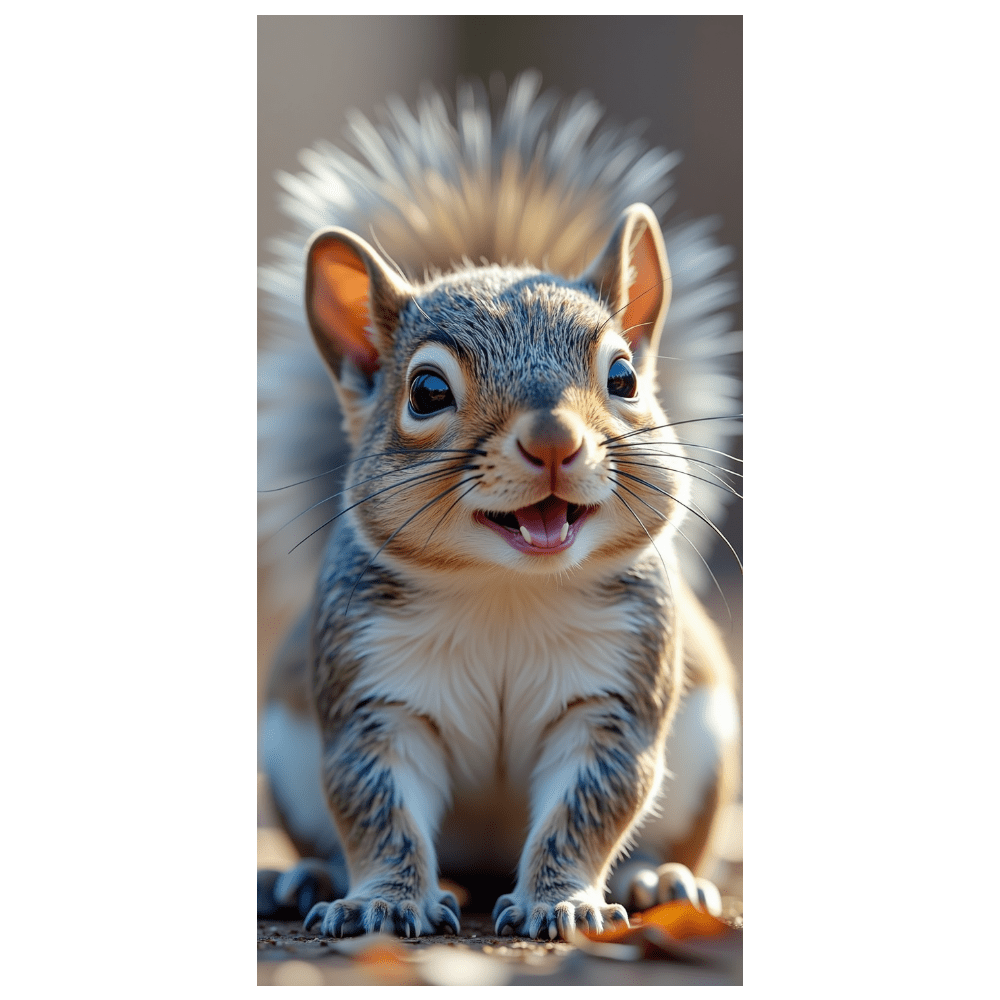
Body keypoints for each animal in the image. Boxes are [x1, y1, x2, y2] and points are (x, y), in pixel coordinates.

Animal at [257, 72, 742, 941]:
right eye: (426, 391)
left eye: (624, 378)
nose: (554, 439)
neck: (507, 588)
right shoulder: (374, 700)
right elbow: (376, 808)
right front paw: (383, 901)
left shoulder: (615, 698)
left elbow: (589, 808)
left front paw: (562, 902)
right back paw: (310, 877)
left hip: (707, 742)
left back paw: (663, 877)